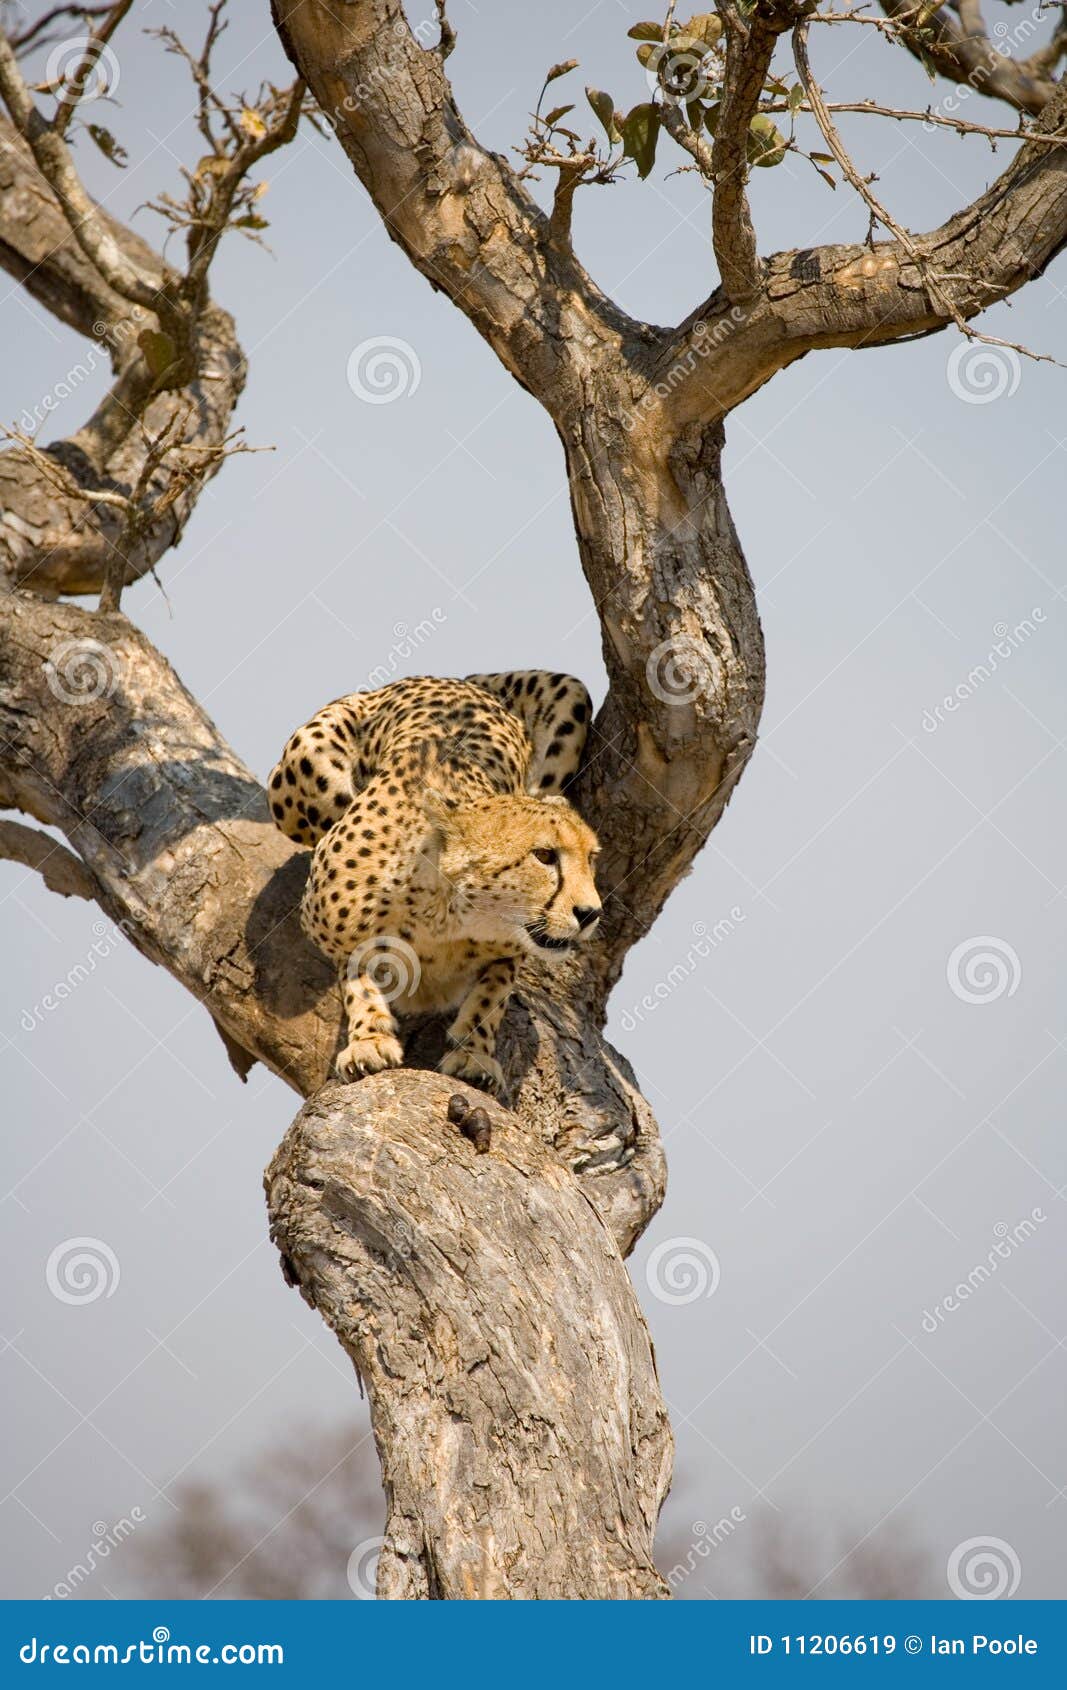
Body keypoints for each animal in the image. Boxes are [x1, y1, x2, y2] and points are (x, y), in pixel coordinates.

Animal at [268, 671, 601, 1092]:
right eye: (544, 855)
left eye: (591, 858)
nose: (591, 913)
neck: (447, 913)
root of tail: (455, 679)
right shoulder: (330, 927)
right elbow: (357, 973)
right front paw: (369, 1039)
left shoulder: (511, 949)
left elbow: (495, 990)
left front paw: (474, 1050)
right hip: (304, 771)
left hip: (571, 696)